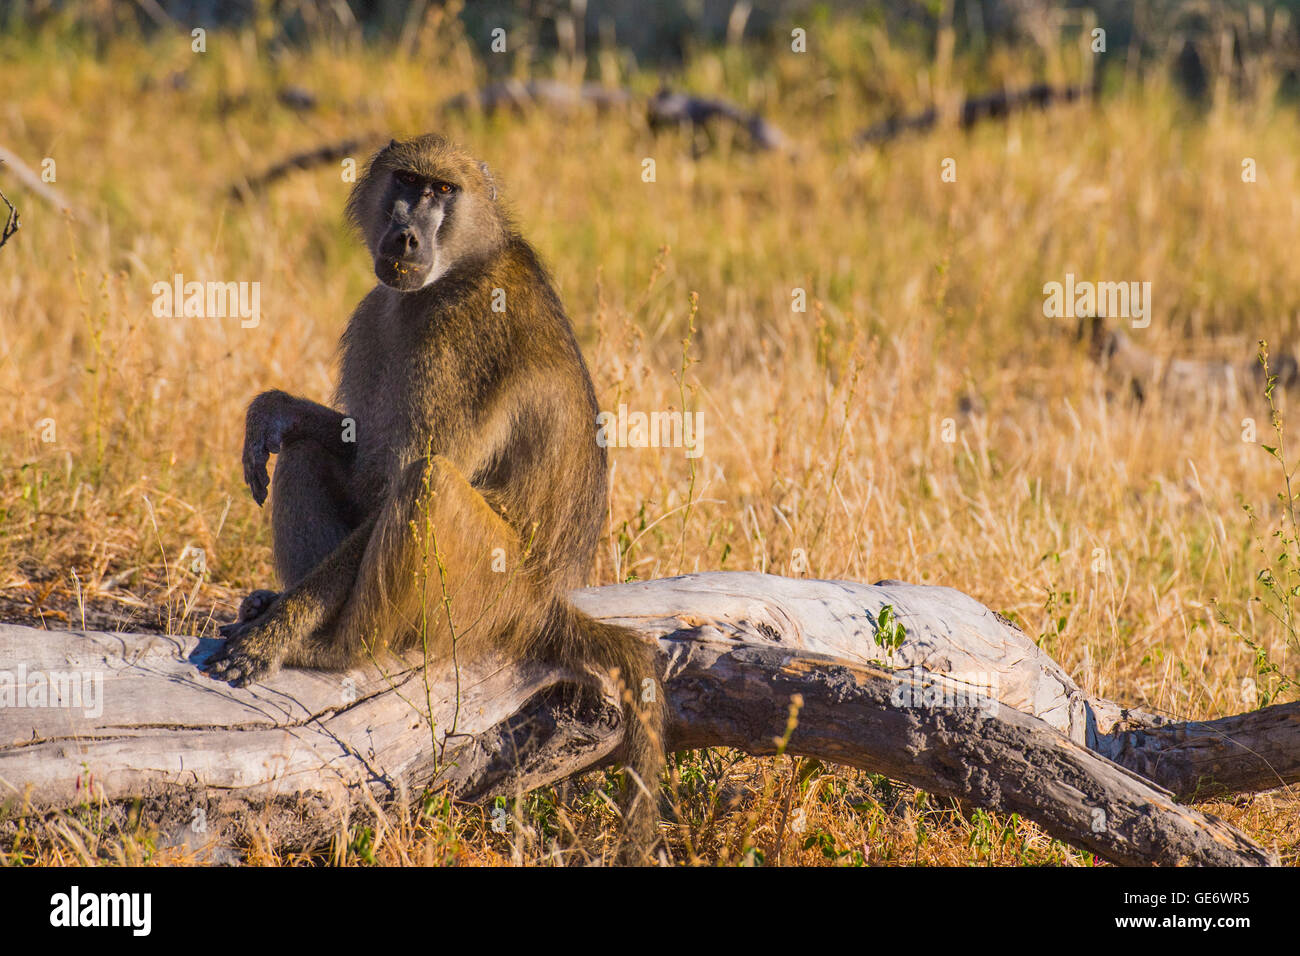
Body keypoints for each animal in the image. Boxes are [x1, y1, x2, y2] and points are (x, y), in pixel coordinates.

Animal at [205, 133, 664, 858]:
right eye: (407, 181)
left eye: (442, 192)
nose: (406, 235)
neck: (448, 274)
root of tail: (545, 601)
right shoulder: (378, 311)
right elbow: (355, 454)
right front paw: (275, 412)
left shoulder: (463, 337)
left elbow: (403, 476)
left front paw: (277, 632)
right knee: (306, 455)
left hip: (489, 590)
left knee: (428, 481)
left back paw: (336, 649)